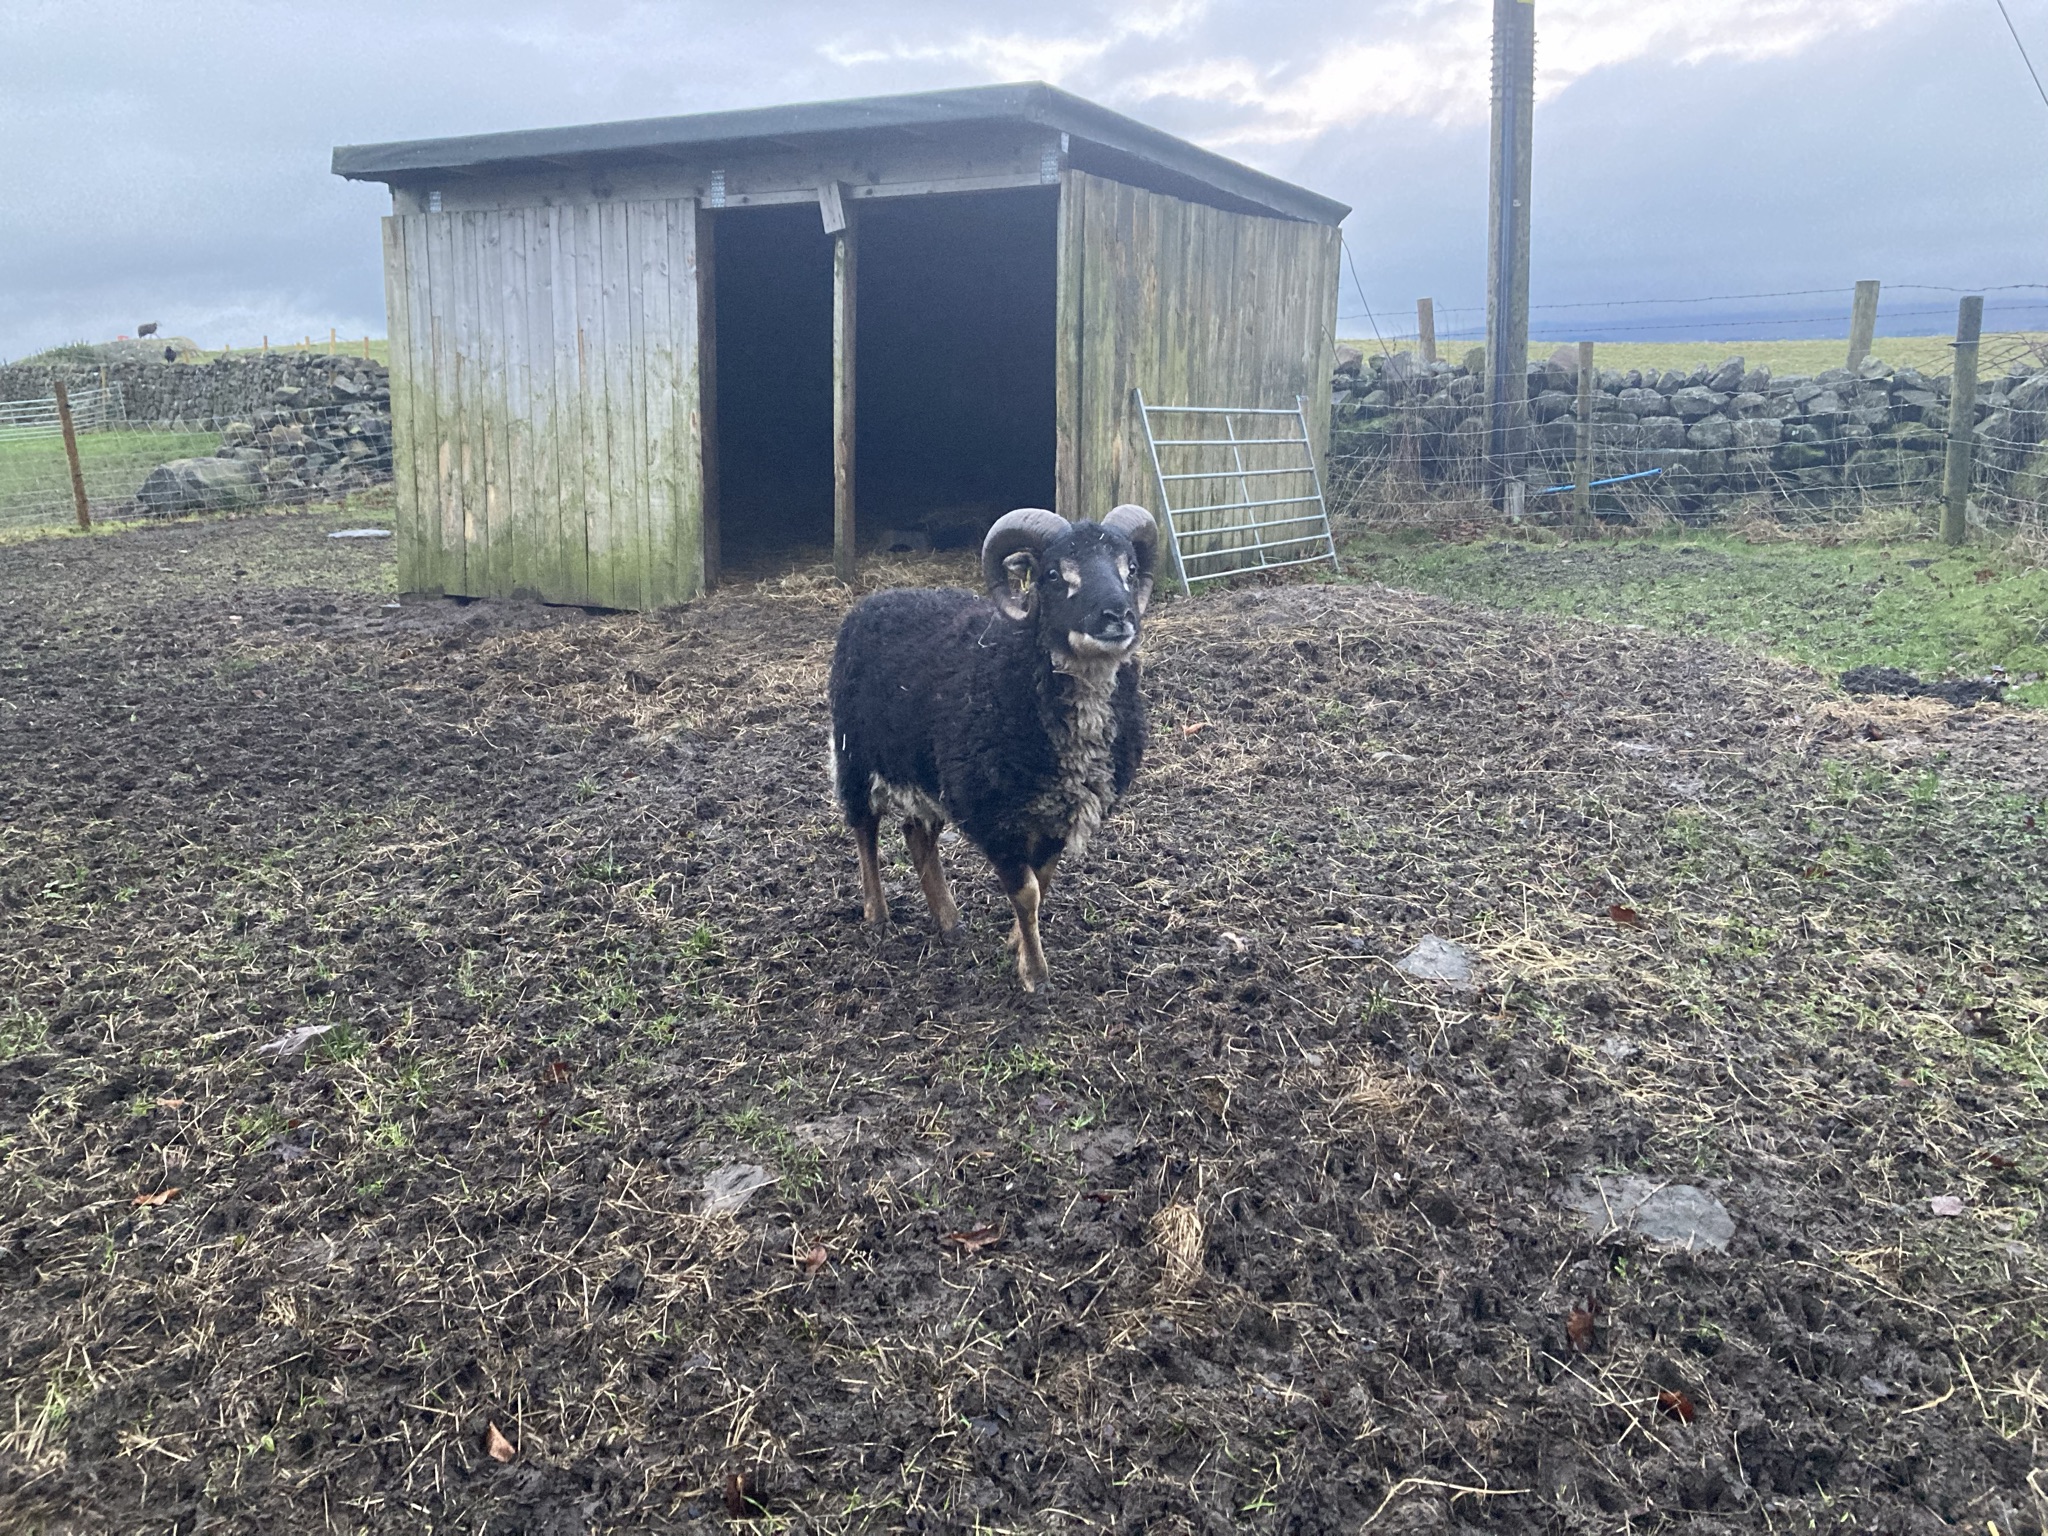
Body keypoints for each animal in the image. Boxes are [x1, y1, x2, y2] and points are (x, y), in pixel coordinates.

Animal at [828, 504, 1160, 991]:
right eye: (1054, 574)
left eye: (1130, 568)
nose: (1117, 615)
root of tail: (875, 599)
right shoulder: (994, 816)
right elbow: (1026, 892)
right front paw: (1035, 974)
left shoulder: (1055, 816)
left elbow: (1043, 880)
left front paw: (1016, 944)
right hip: (855, 755)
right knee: (864, 828)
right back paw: (878, 914)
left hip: (928, 773)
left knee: (916, 834)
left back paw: (949, 922)